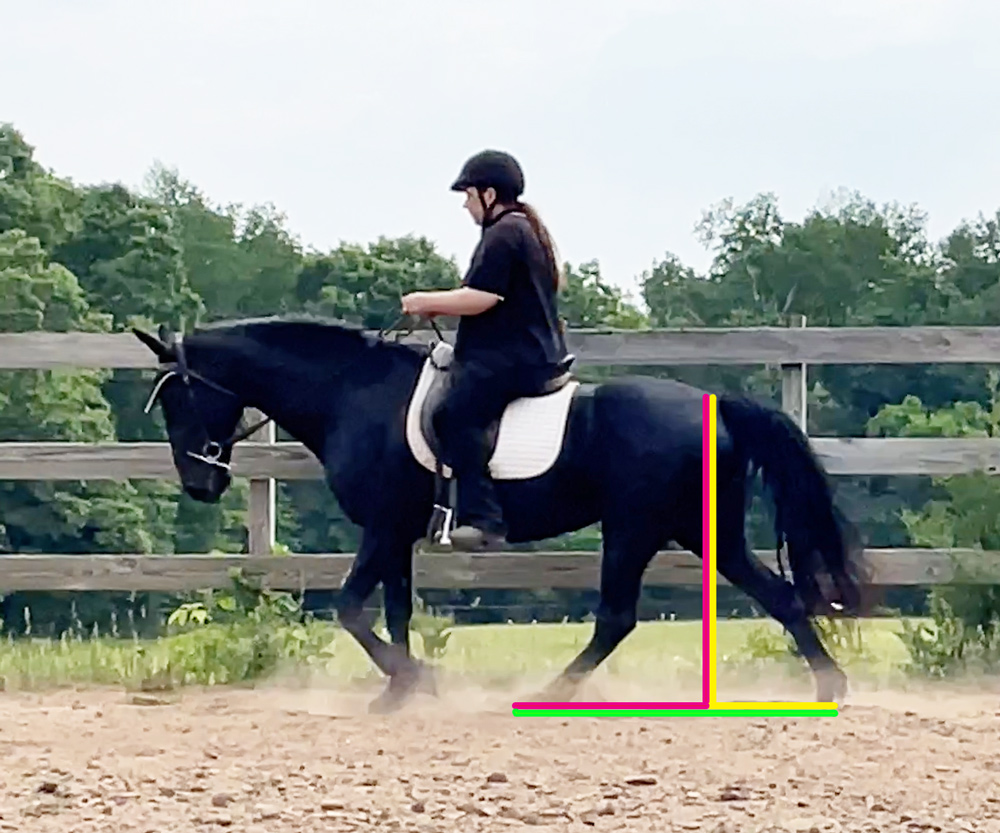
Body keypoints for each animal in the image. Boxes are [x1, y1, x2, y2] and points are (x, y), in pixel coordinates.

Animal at [132, 314, 870, 713]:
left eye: (179, 398)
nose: (199, 483)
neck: (352, 393)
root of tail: (718, 407)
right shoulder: (399, 533)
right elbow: (393, 612)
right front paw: (403, 692)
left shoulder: (383, 525)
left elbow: (348, 608)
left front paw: (418, 681)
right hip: (699, 530)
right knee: (775, 593)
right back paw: (828, 684)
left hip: (636, 528)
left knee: (617, 617)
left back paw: (548, 693)